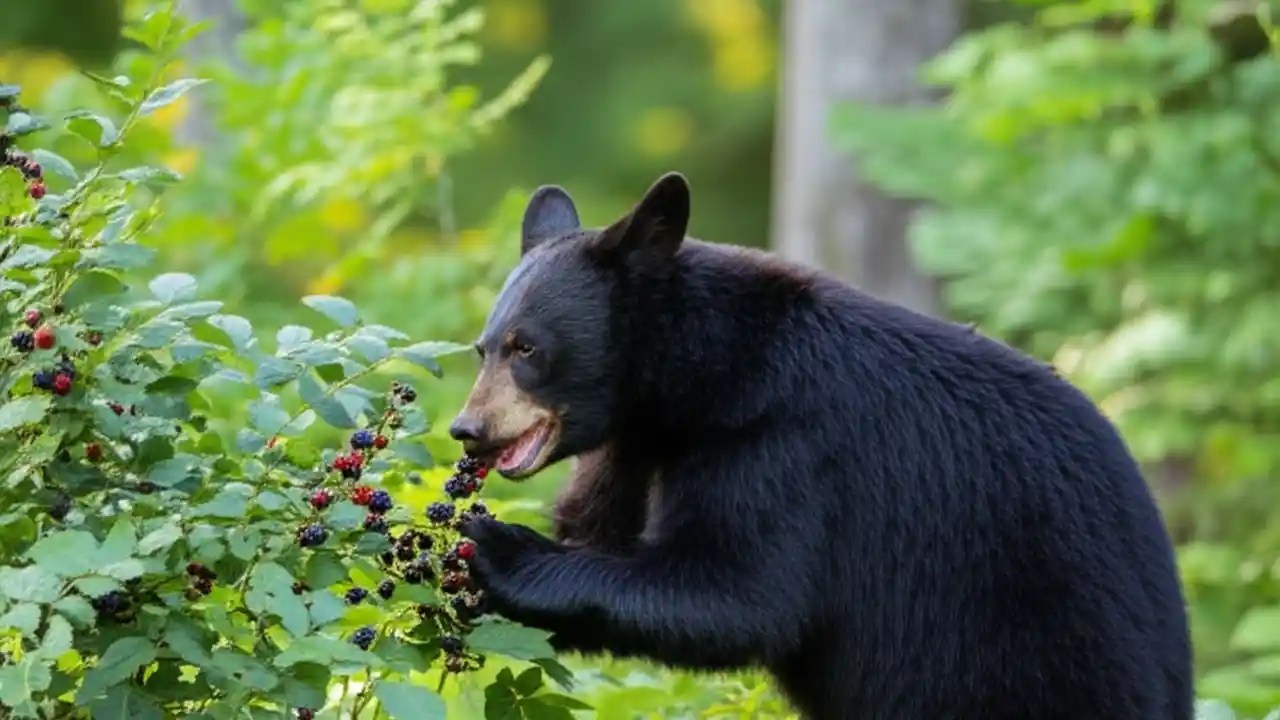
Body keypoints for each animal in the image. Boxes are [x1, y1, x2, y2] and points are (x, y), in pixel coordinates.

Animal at [449, 171, 1193, 720]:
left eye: (527, 348)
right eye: (483, 349)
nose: (467, 428)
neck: (699, 376)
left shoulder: (785, 447)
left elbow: (736, 592)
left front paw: (499, 550)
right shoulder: (641, 445)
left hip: (1041, 655)